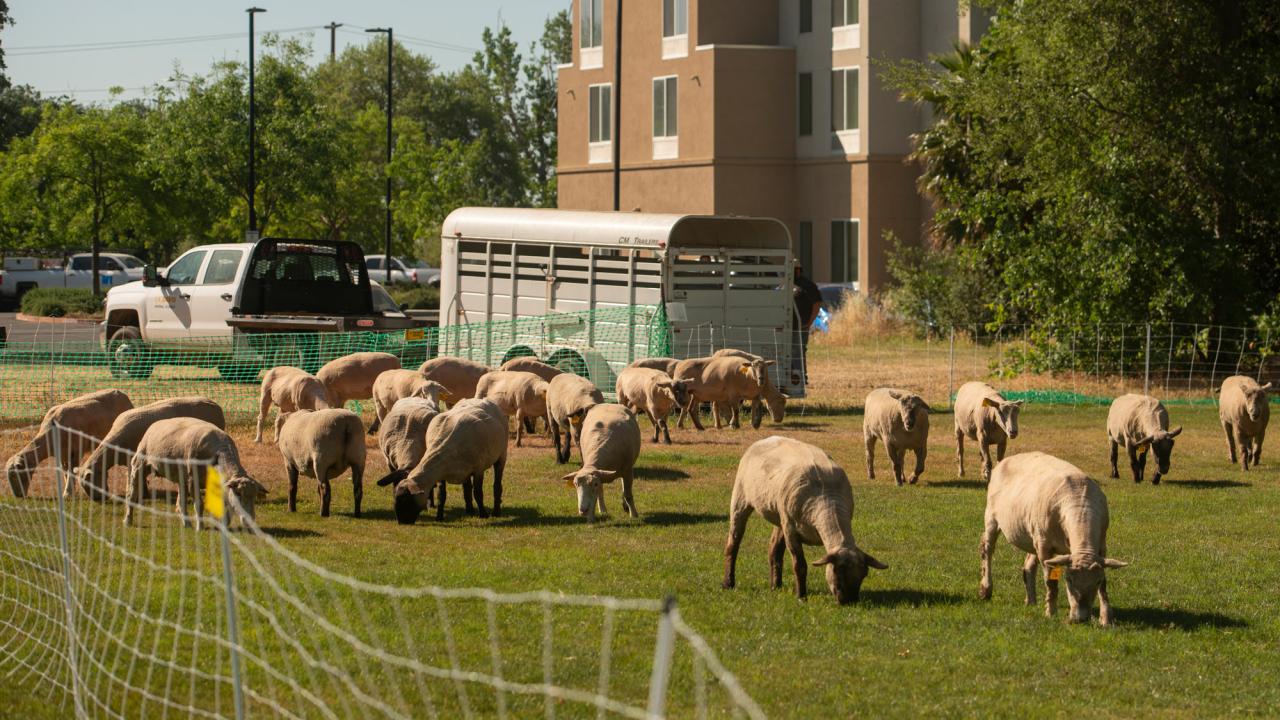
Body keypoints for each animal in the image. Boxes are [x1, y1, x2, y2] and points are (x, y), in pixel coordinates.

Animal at [74, 397, 226, 501]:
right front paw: (144, 494)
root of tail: (216, 405)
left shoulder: (133, 457)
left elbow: (132, 478)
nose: (98, 500)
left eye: (89, 483)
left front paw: (135, 494)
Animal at [125, 418, 267, 530]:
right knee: (132, 495)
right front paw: (200, 527)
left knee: (181, 502)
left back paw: (186, 523)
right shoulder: (194, 479)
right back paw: (128, 520)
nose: (249, 522)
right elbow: (199, 504)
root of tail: (155, 424)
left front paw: (224, 526)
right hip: (139, 464)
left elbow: (224, 504)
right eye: (238, 493)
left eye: (255, 495)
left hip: (181, 476)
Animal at [379, 398, 508, 525]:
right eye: (395, 497)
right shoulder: (441, 475)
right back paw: (470, 511)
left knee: (497, 484)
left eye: (406, 499)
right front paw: (439, 517)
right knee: (467, 488)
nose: (402, 522)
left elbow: (478, 493)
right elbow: (441, 495)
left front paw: (483, 515)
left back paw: (496, 512)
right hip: (466, 471)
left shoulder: (478, 469)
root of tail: (483, 400)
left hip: (502, 454)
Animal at [722, 436, 888, 604]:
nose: (848, 601)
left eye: (864, 575)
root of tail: (766, 438)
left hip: (780, 514)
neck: (826, 502)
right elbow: (800, 565)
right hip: (741, 498)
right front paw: (801, 596)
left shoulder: (787, 522)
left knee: (774, 549)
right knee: (733, 543)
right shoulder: (791, 530)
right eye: (837, 571)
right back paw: (728, 583)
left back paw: (776, 586)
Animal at [979, 452, 1128, 625]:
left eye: (1096, 581)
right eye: (1068, 580)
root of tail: (1011, 457)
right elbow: (1050, 582)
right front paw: (1050, 612)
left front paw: (1106, 618)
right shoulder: (1045, 546)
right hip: (992, 517)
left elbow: (1104, 586)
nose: (1081, 619)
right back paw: (986, 589)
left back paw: (1030, 600)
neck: (1079, 506)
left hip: (1033, 533)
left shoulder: (1101, 546)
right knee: (987, 550)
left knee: (1028, 565)